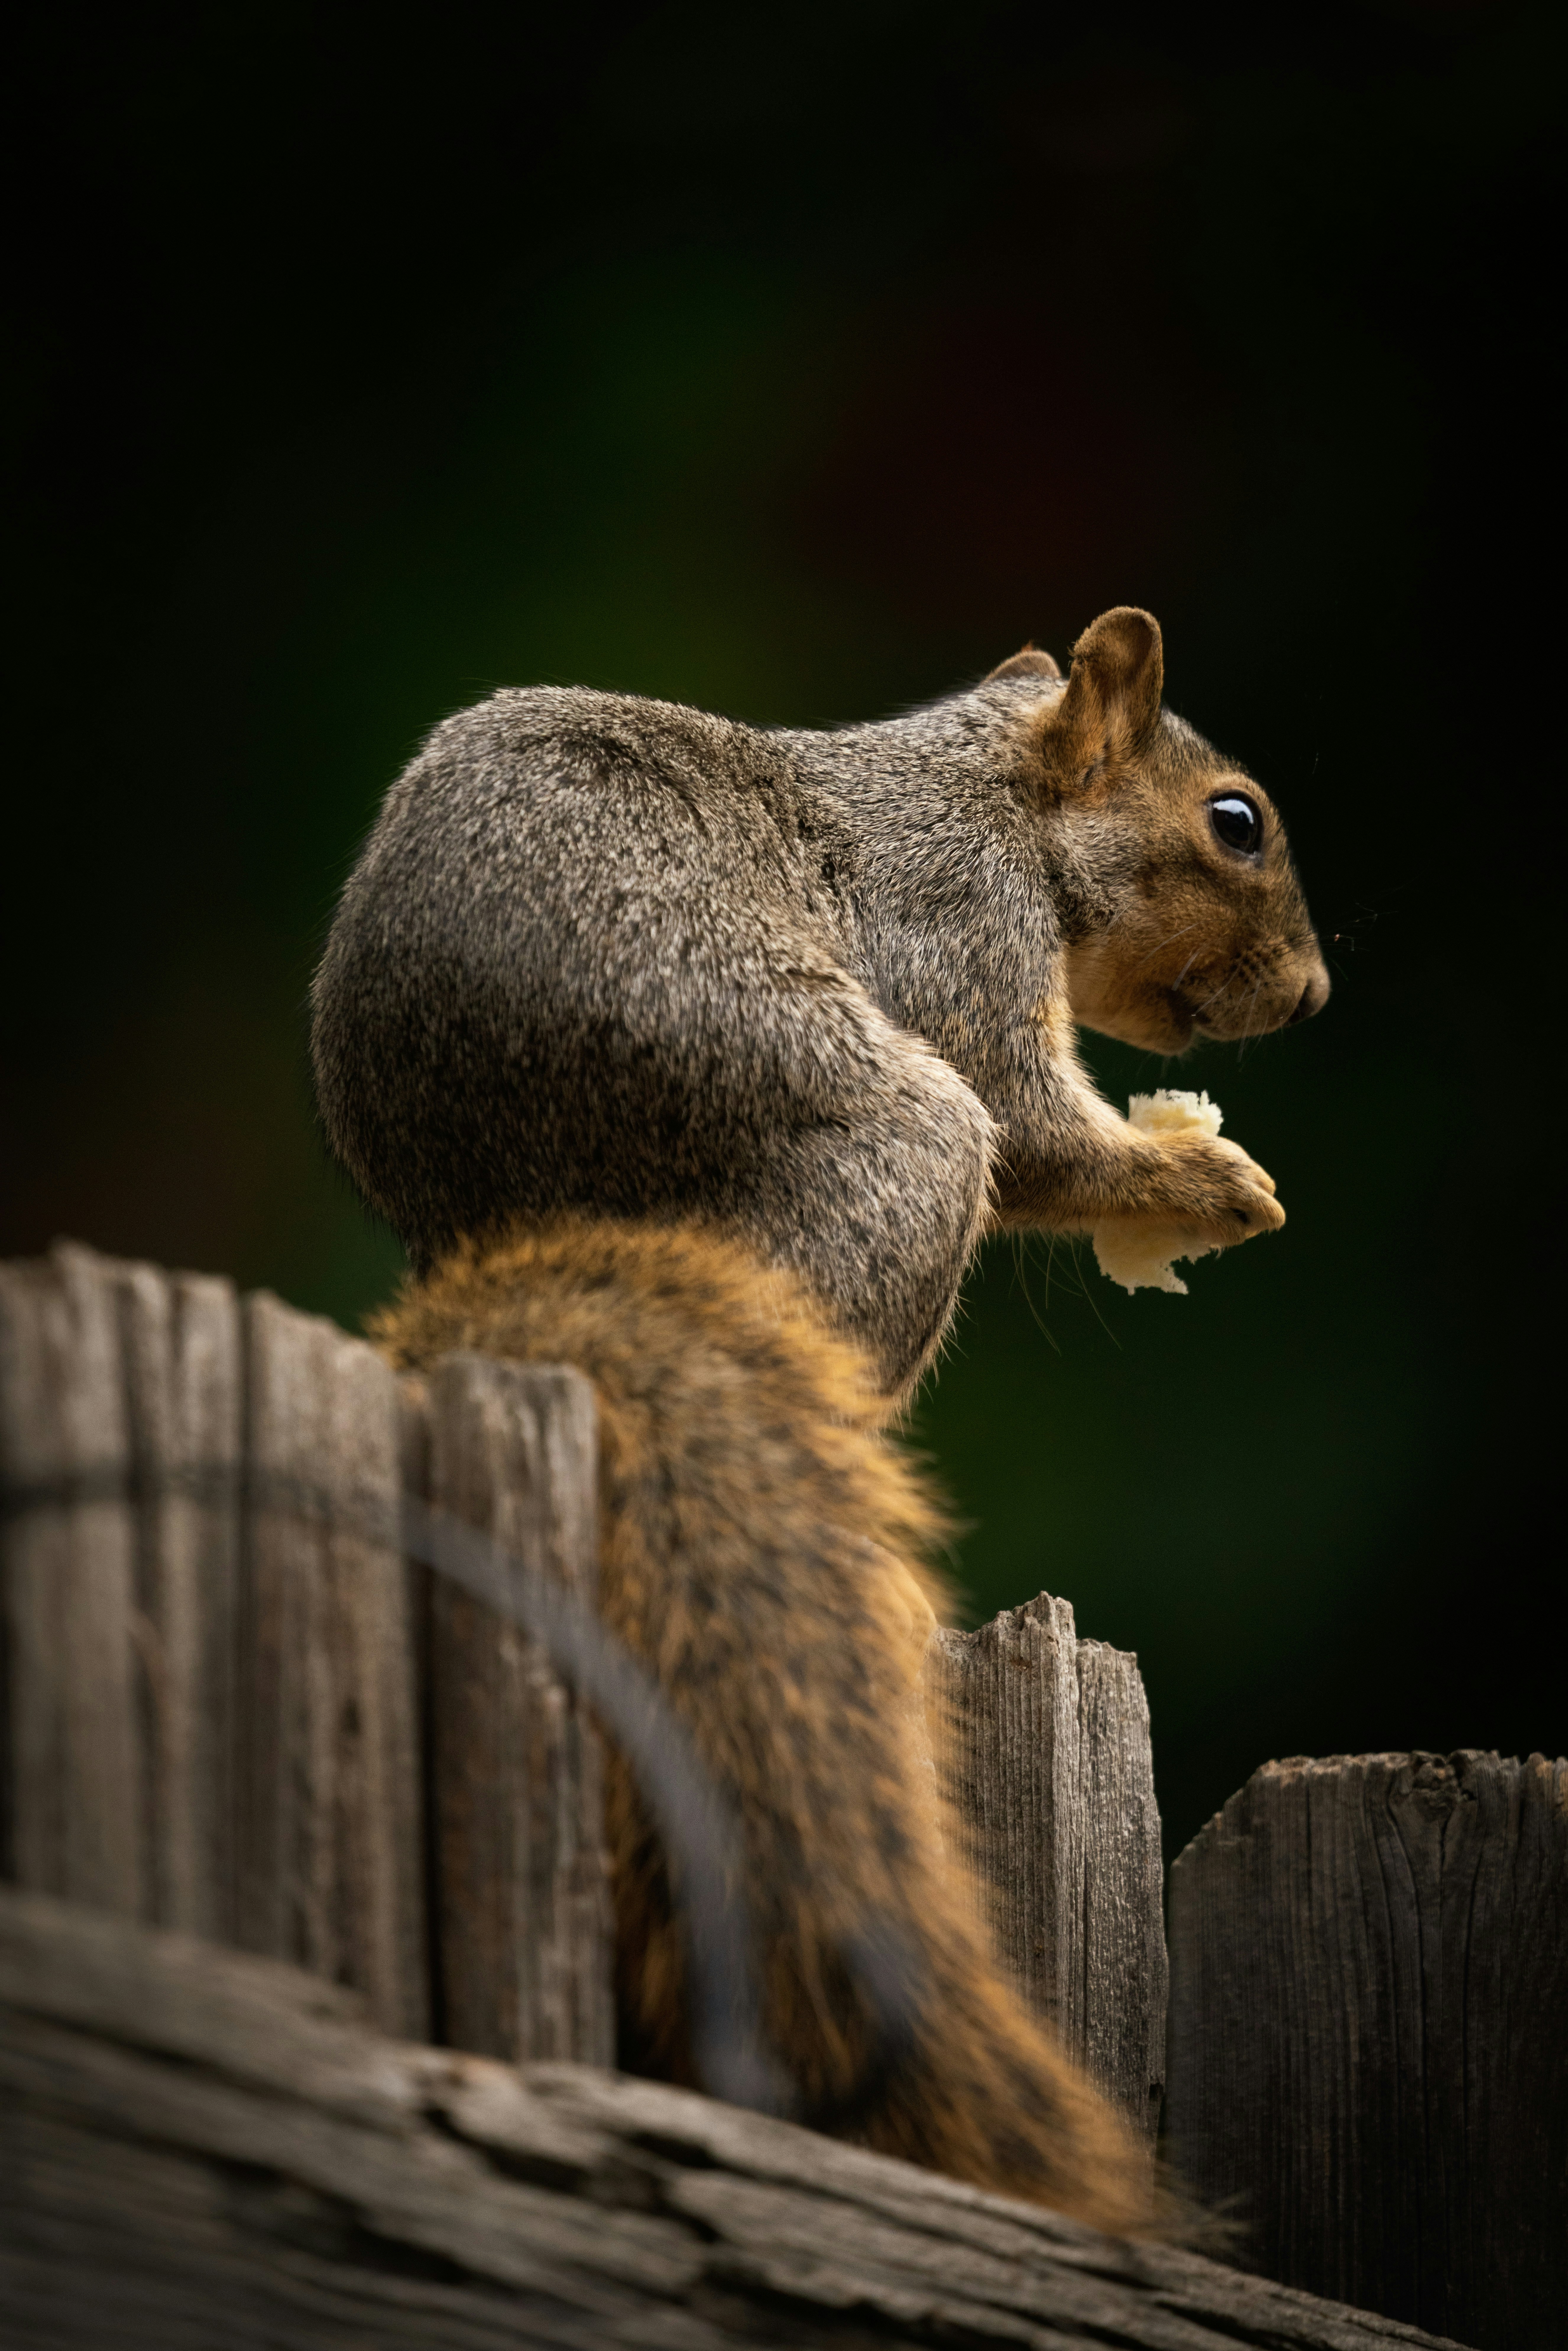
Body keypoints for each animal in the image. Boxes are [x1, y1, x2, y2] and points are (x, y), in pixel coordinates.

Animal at [312, 606, 1328, 2235]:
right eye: (1233, 822)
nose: (1307, 997)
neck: (999, 795)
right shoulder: (960, 922)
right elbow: (1032, 1130)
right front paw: (1201, 1183)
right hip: (856, 1127)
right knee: (928, 1172)